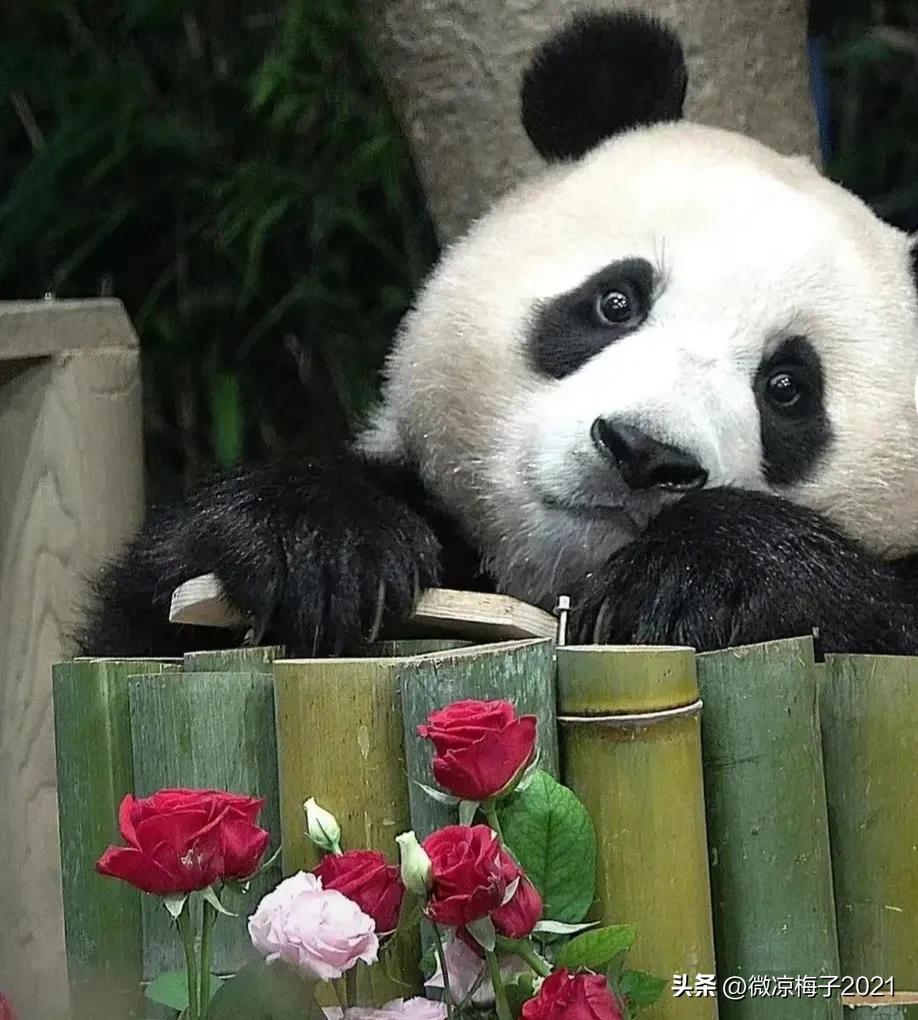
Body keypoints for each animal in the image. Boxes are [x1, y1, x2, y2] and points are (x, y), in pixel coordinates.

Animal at [77, 10, 918, 659]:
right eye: (615, 301)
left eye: (787, 389)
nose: (642, 452)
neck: (546, 587)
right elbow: (150, 618)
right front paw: (320, 548)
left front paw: (702, 576)